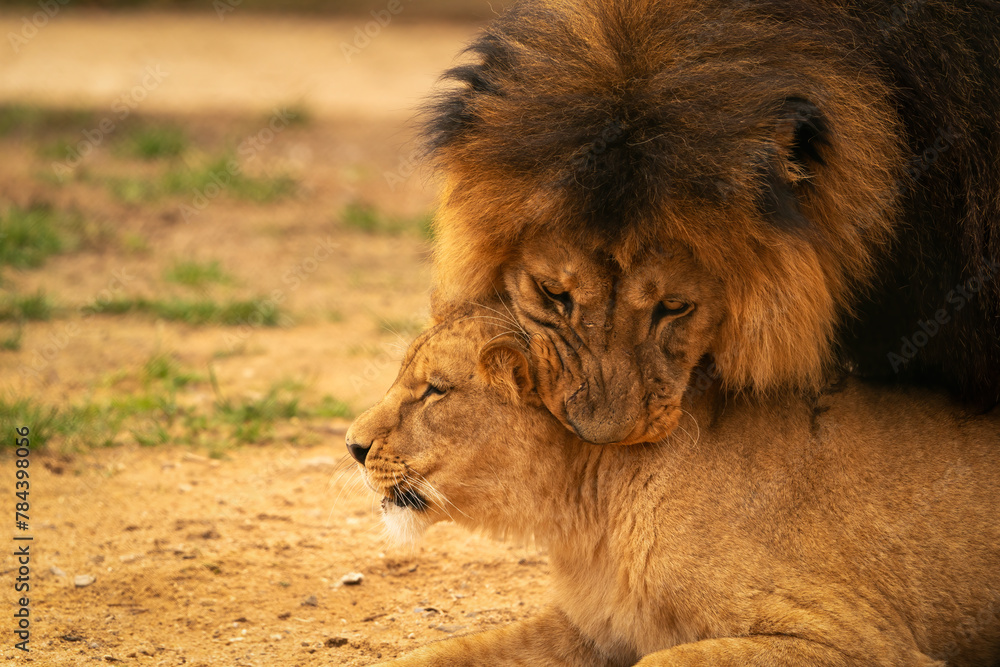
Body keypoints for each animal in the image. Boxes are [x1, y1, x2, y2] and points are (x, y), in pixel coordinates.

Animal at [345, 316, 1000, 666]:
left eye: (434, 390)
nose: (351, 445)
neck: (589, 516)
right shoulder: (590, 629)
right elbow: (444, 653)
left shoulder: (858, 640)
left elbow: (666, 658)